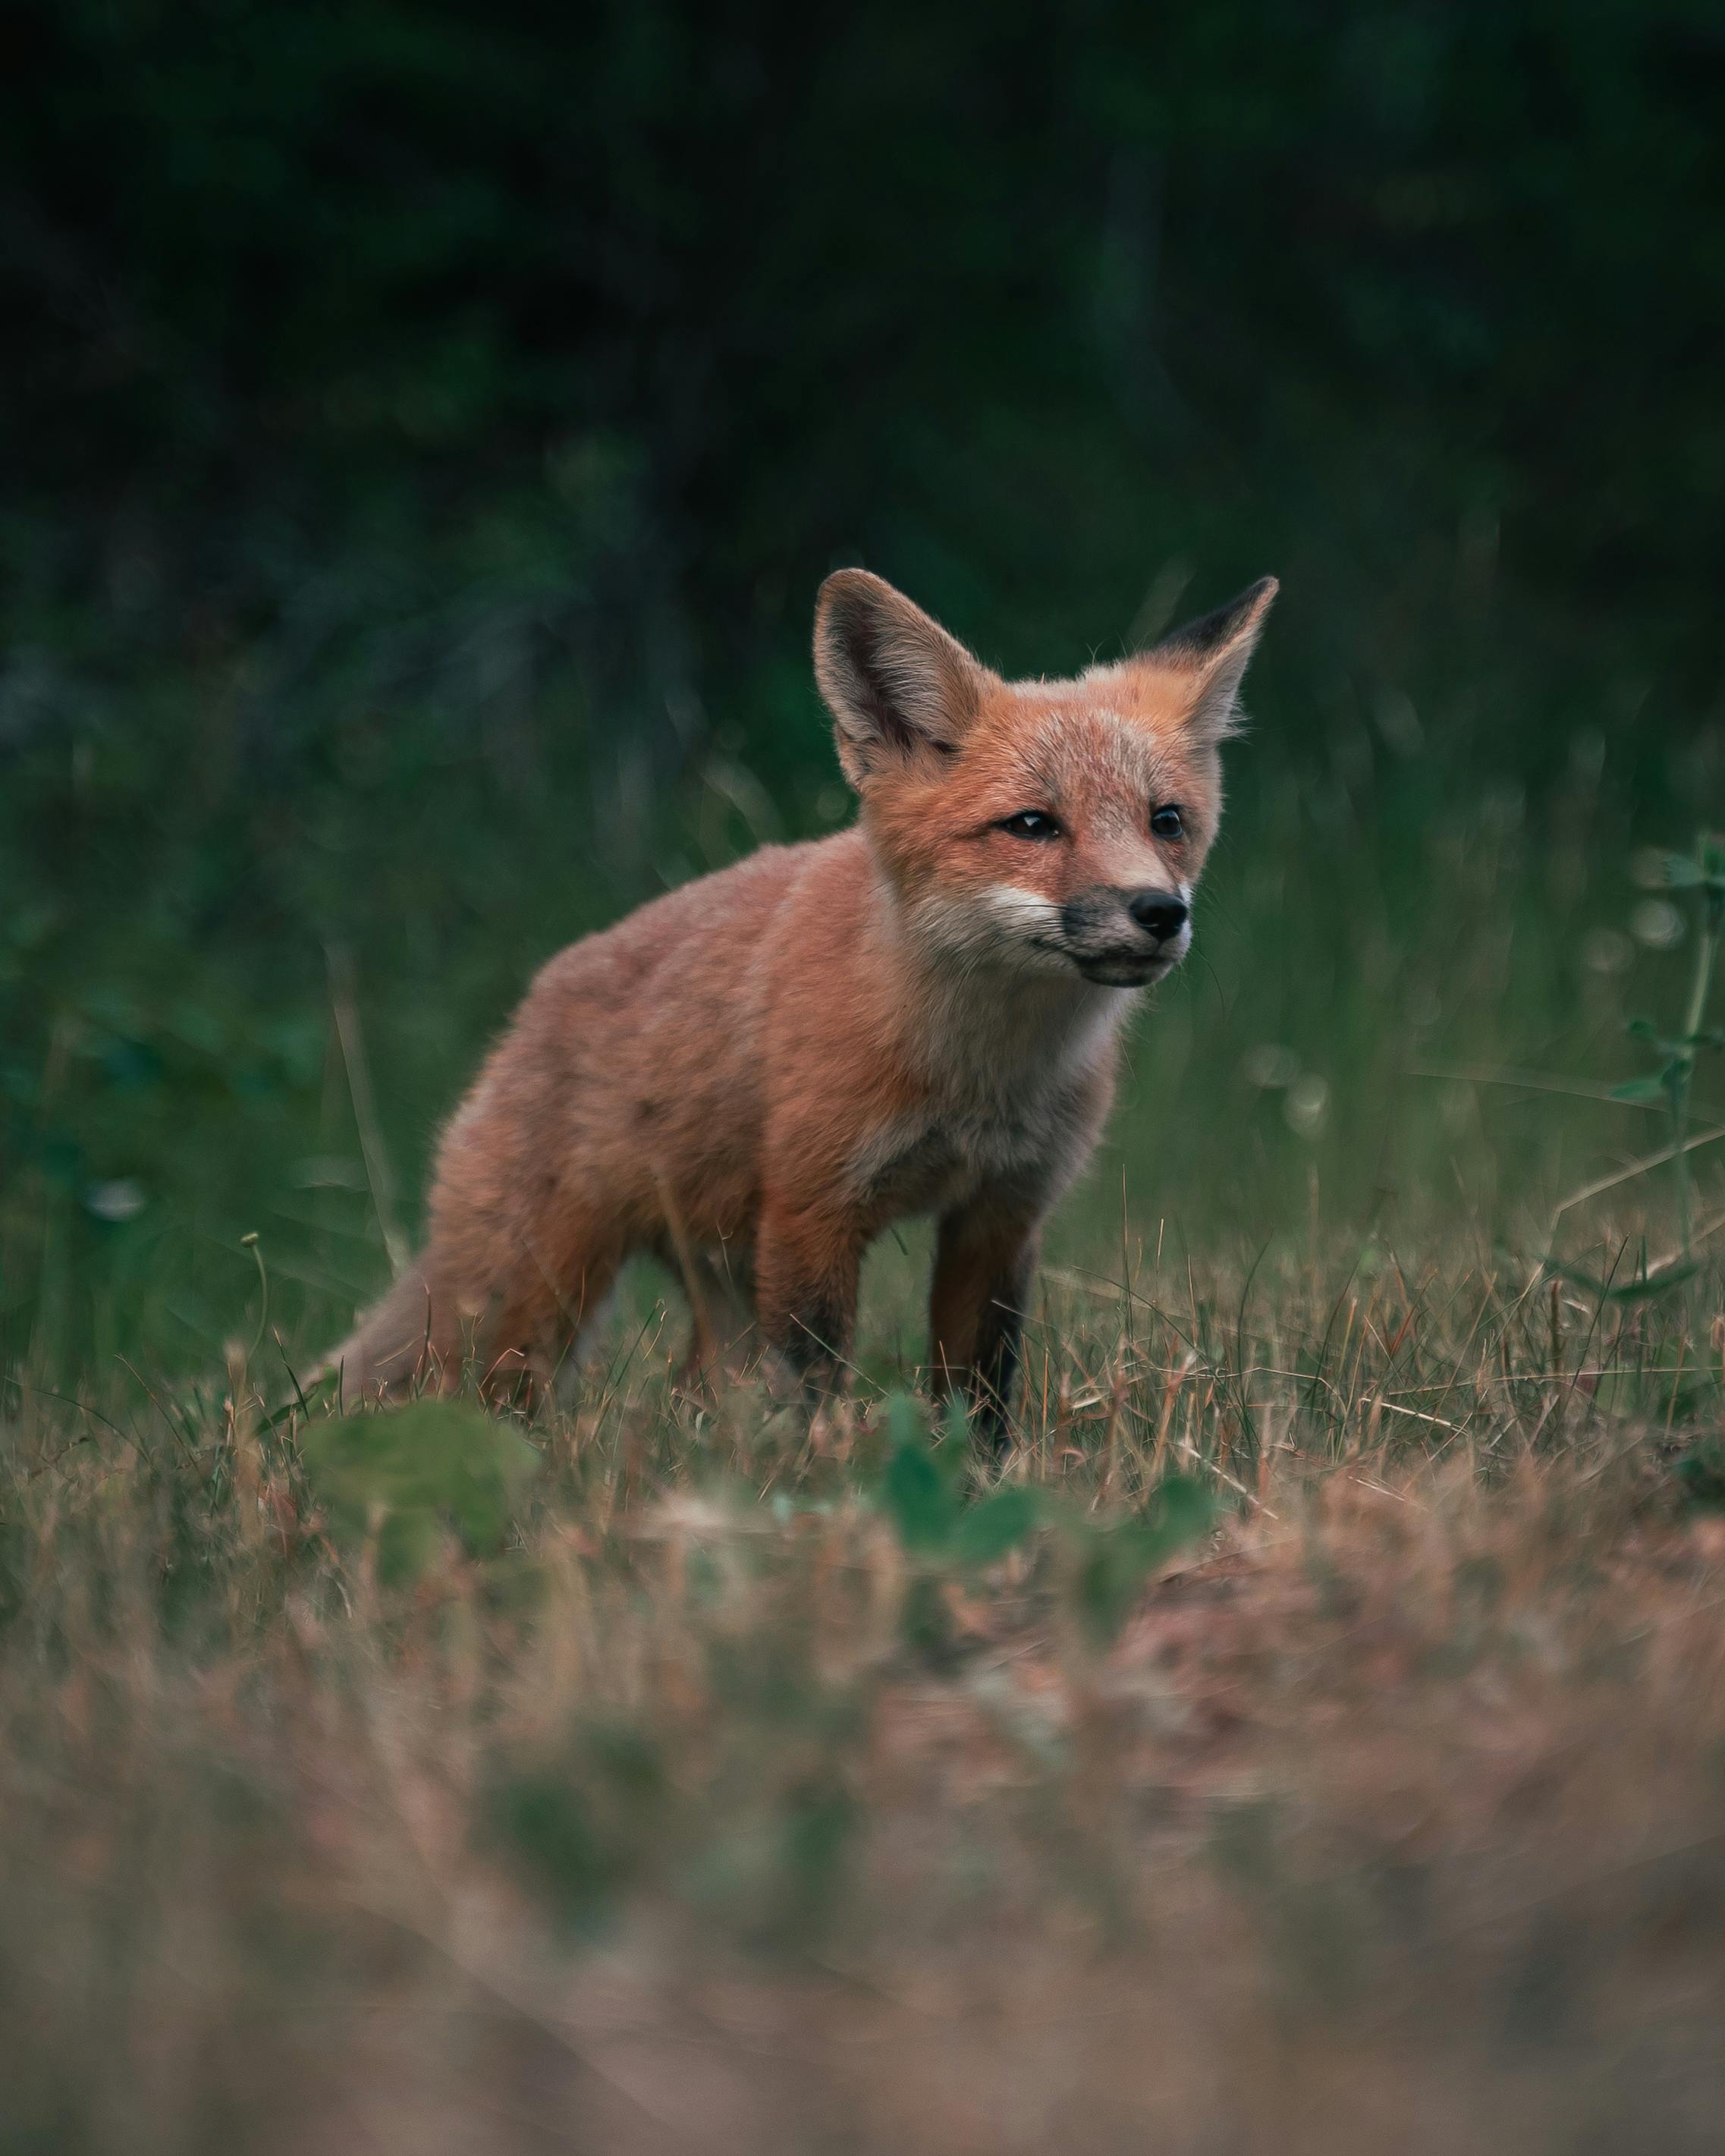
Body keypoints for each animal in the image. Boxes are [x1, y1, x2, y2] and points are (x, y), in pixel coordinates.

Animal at [331, 567, 1276, 1440]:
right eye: (1034, 825)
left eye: (1166, 821)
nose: (1160, 912)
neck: (970, 1074)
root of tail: (535, 997)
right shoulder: (812, 1209)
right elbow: (811, 1383)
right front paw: (810, 1483)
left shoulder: (1002, 1215)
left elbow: (980, 1392)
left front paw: (974, 1479)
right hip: (525, 1305)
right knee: (467, 1390)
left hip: (715, 1287)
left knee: (695, 1398)